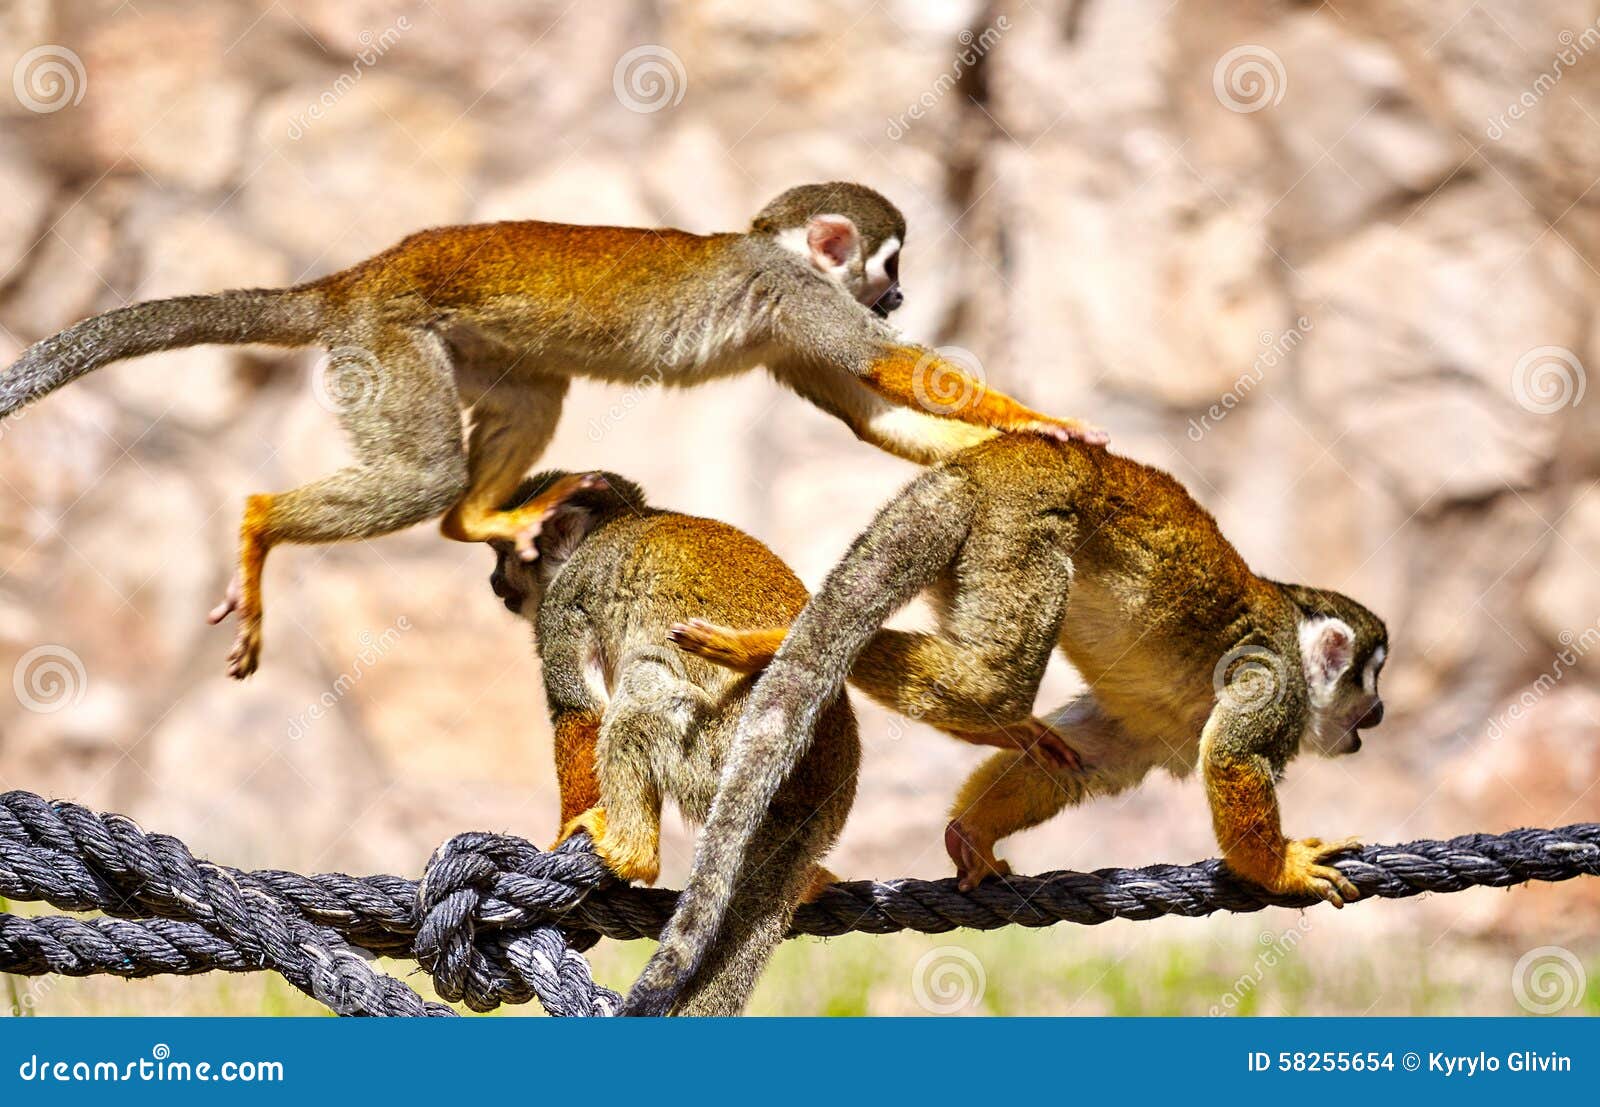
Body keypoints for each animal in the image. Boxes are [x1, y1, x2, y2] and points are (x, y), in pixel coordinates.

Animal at [0, 182, 1103, 680]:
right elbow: (887, 369)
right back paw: (266, 522)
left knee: (525, 404)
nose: (902, 291)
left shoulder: (794, 324)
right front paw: (1046, 419)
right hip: (384, 342)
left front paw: (997, 443)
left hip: (465, 344)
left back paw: (476, 517)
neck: (780, 252)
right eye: (889, 264)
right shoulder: (799, 296)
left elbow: (872, 408)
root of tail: (351, 279)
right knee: (419, 471)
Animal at [484, 468, 861, 1015]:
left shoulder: (567, 597)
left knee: (642, 687)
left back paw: (631, 850)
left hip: (719, 759)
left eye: (501, 554)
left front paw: (563, 832)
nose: (494, 582)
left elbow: (580, 710)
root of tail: (814, 802)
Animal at [626, 431, 1388, 1016]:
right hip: (1022, 527)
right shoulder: (1276, 677)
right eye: (1368, 680)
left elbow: (1088, 762)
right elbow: (1232, 757)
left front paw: (974, 832)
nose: (1376, 716)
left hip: (980, 545)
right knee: (991, 678)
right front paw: (1281, 868)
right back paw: (781, 646)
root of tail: (1002, 454)